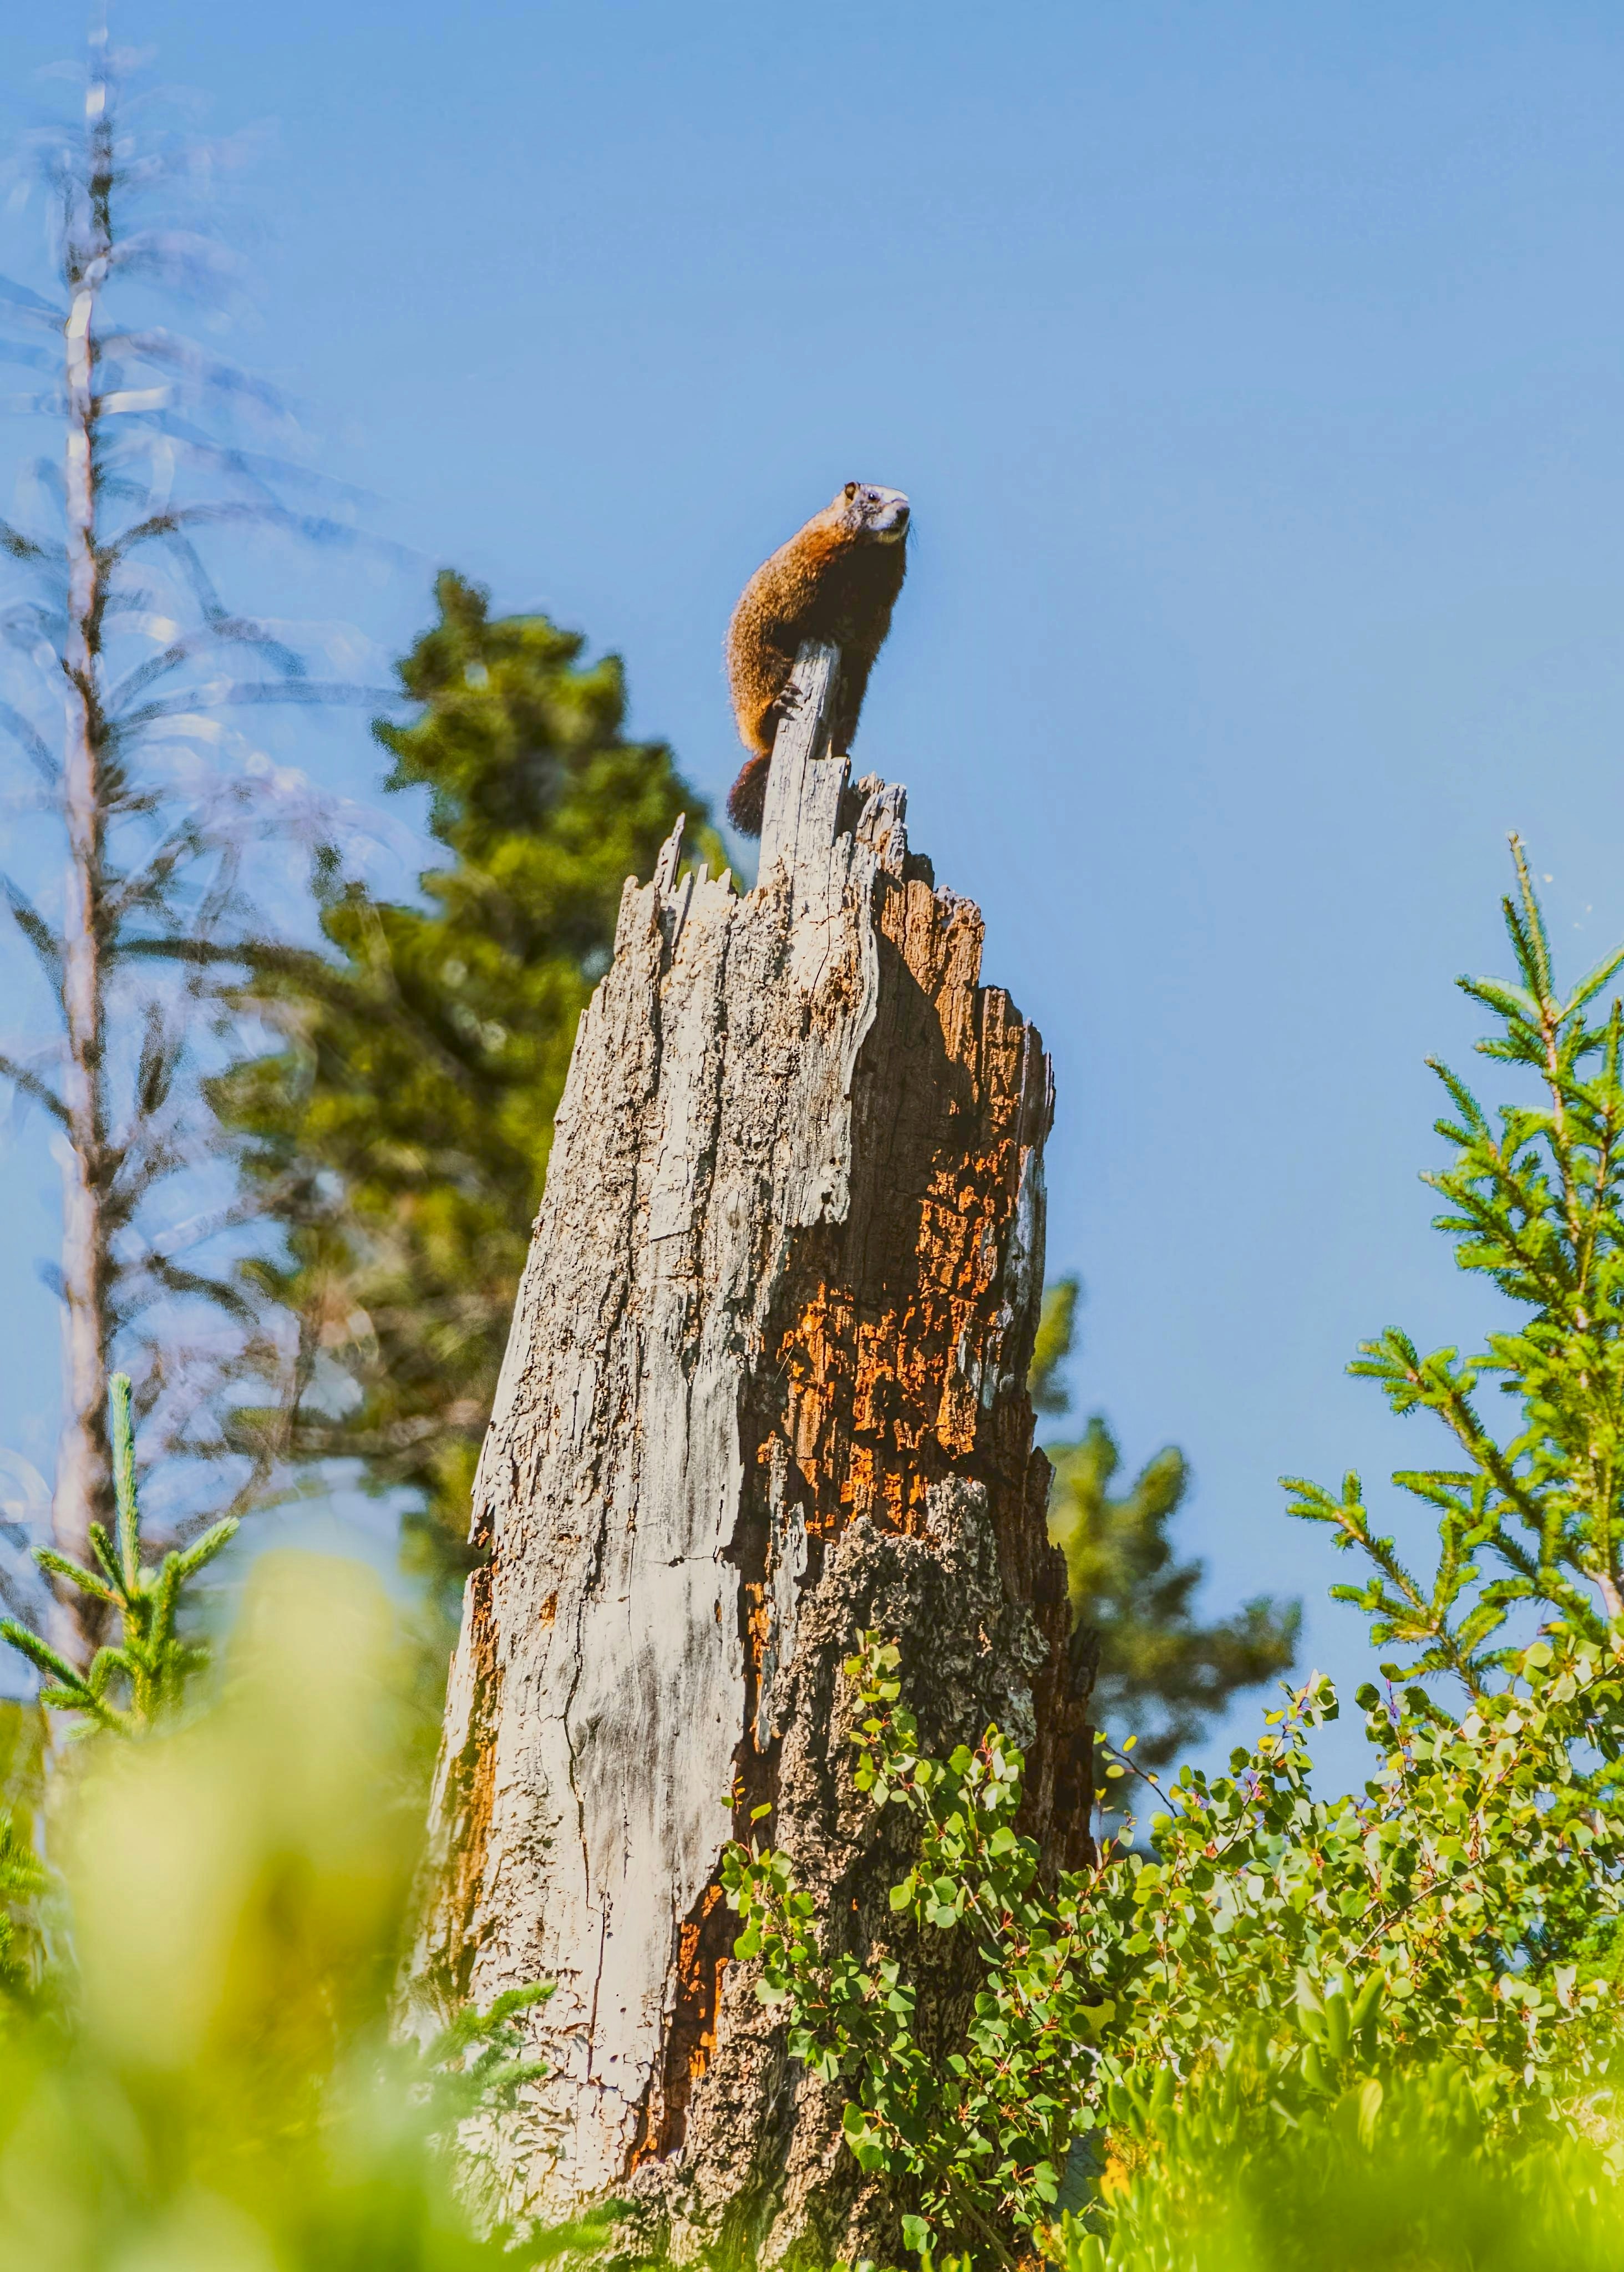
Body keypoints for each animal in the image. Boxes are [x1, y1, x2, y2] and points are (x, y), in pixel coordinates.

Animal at [724, 482, 910, 835]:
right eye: (872, 496)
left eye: (908, 501)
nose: (905, 511)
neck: (867, 557)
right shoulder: (809, 563)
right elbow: (798, 611)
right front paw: (826, 628)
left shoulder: (881, 598)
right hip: (753, 673)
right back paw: (779, 705)